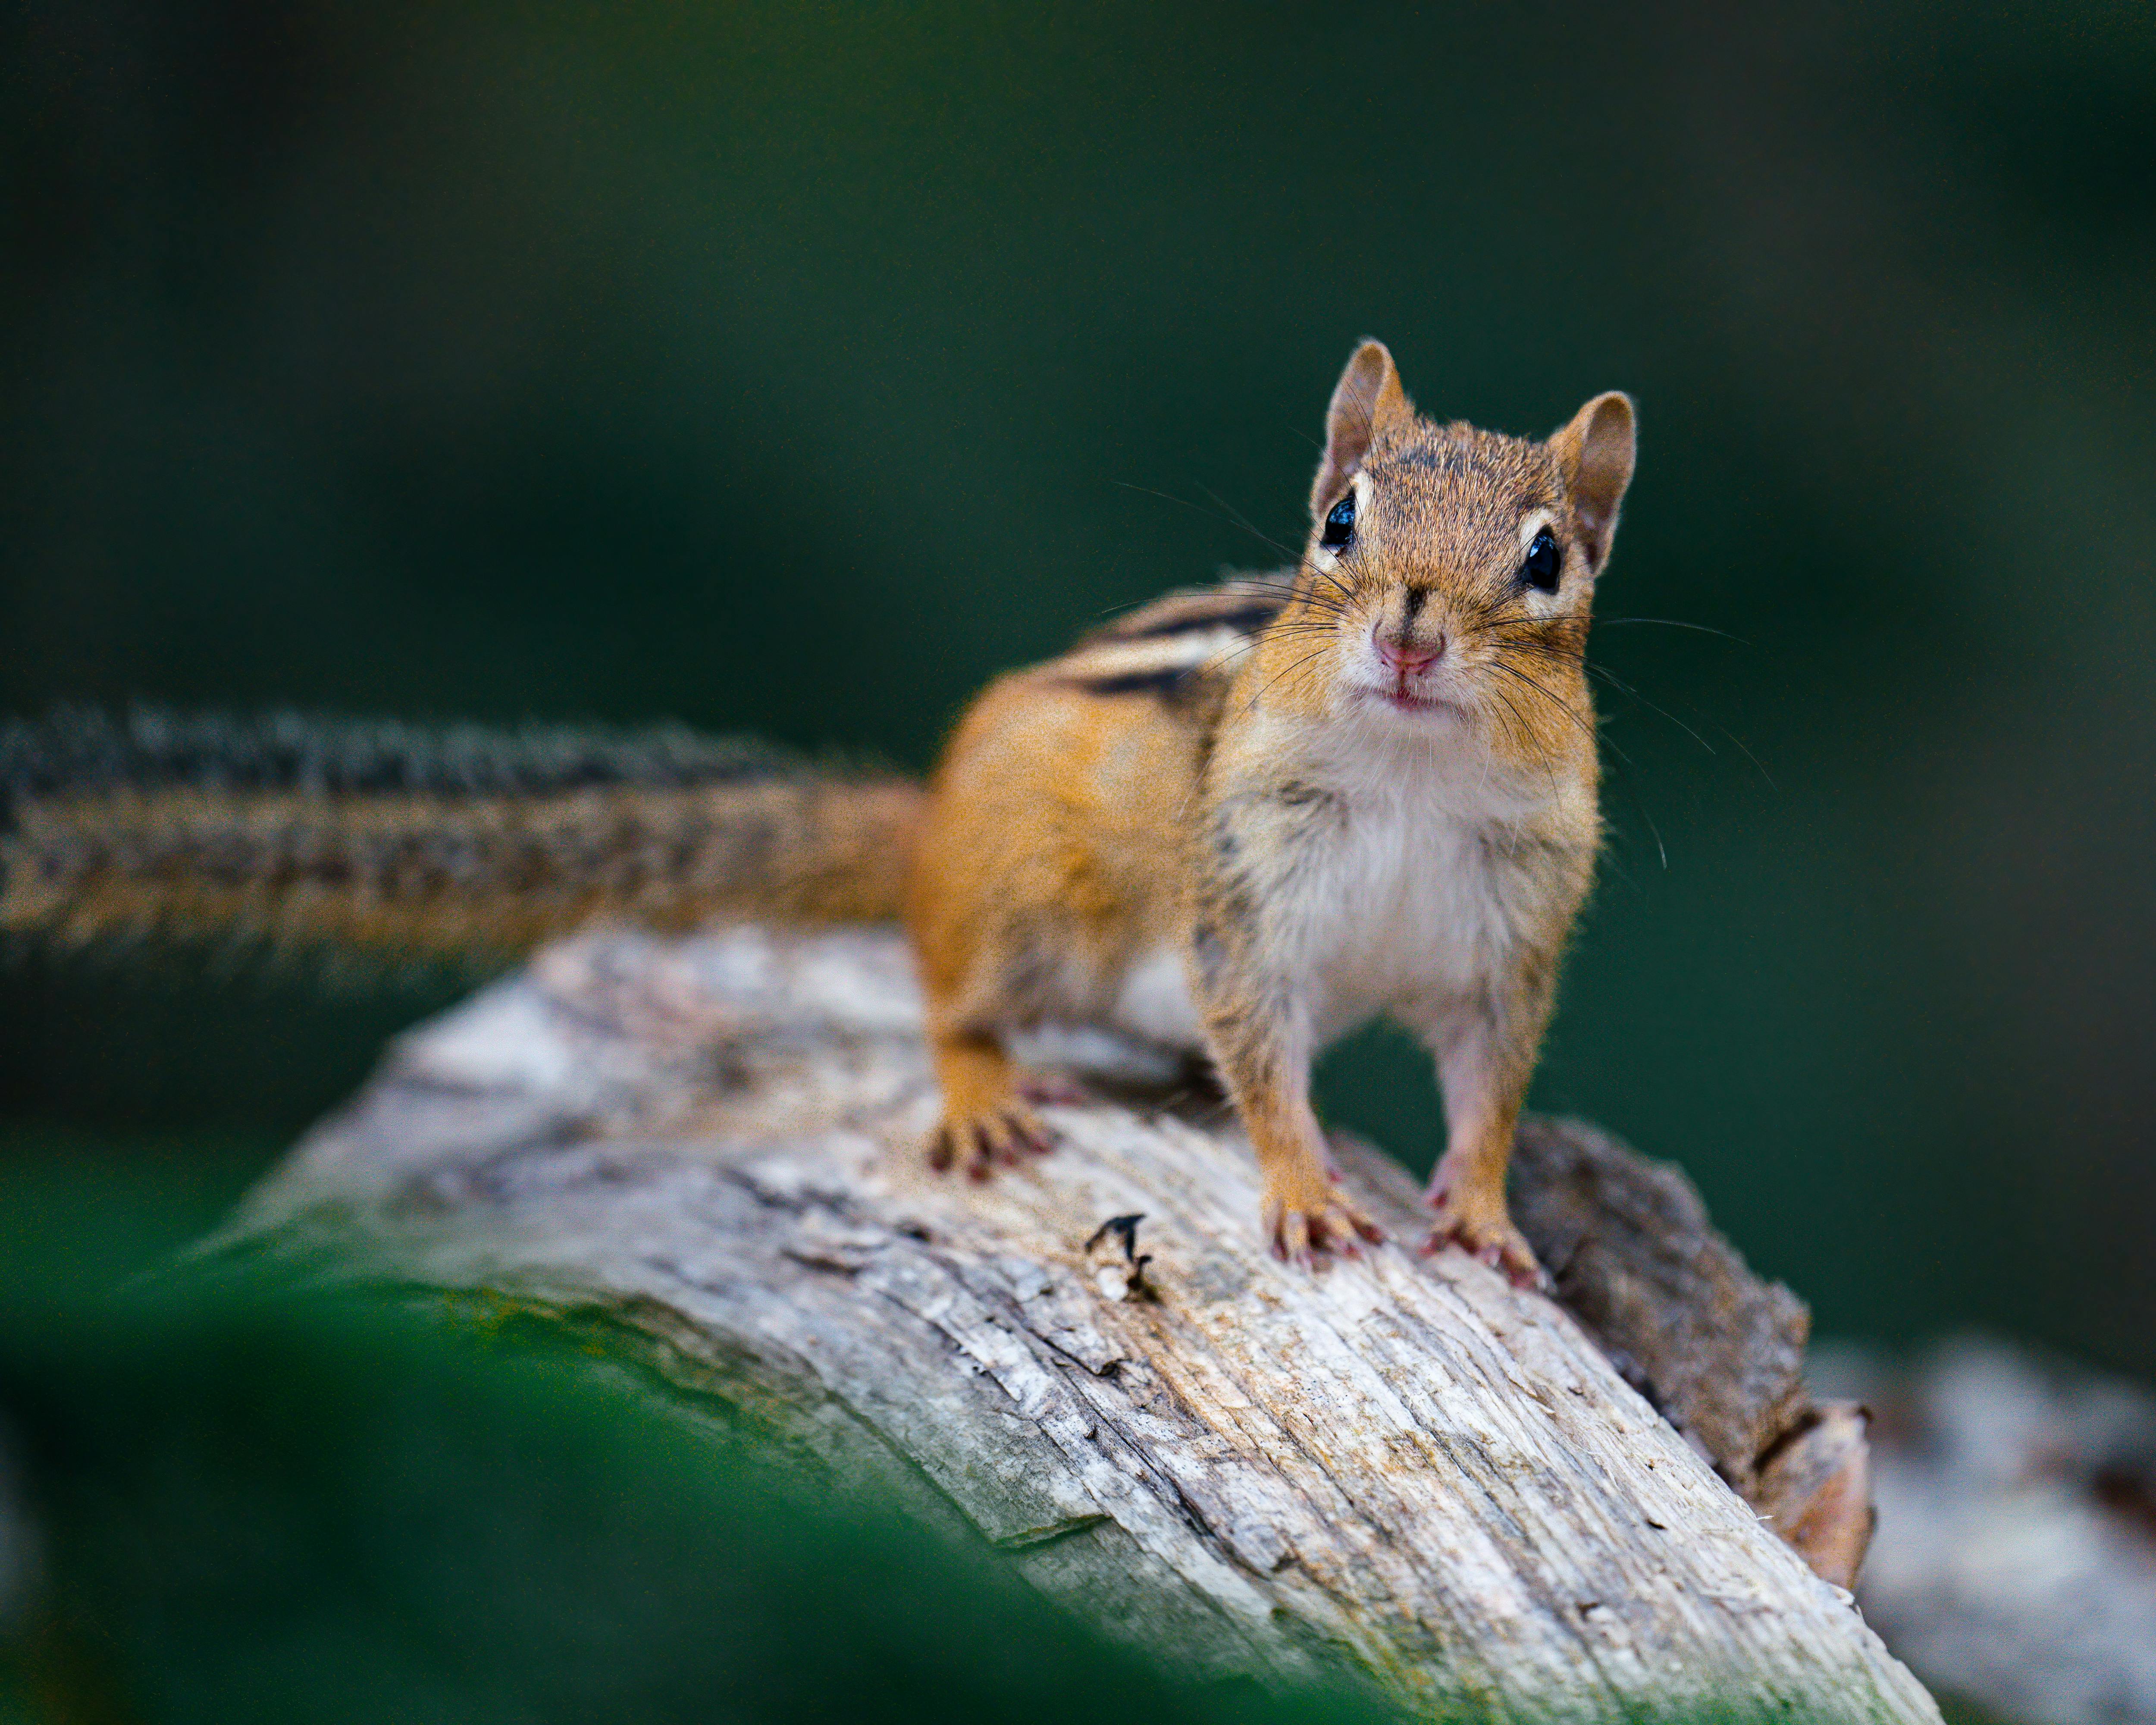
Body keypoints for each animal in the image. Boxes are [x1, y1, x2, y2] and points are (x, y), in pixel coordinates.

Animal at [1, 341, 1633, 1283]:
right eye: (1338, 522)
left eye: (1546, 559)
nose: (1410, 631)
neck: (1411, 777)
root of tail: (927, 829)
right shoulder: (1247, 900)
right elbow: (1260, 1049)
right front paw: (1299, 1184)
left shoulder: (1511, 940)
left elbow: (1490, 1084)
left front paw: (1484, 1213)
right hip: (1032, 909)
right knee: (952, 998)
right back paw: (981, 1095)